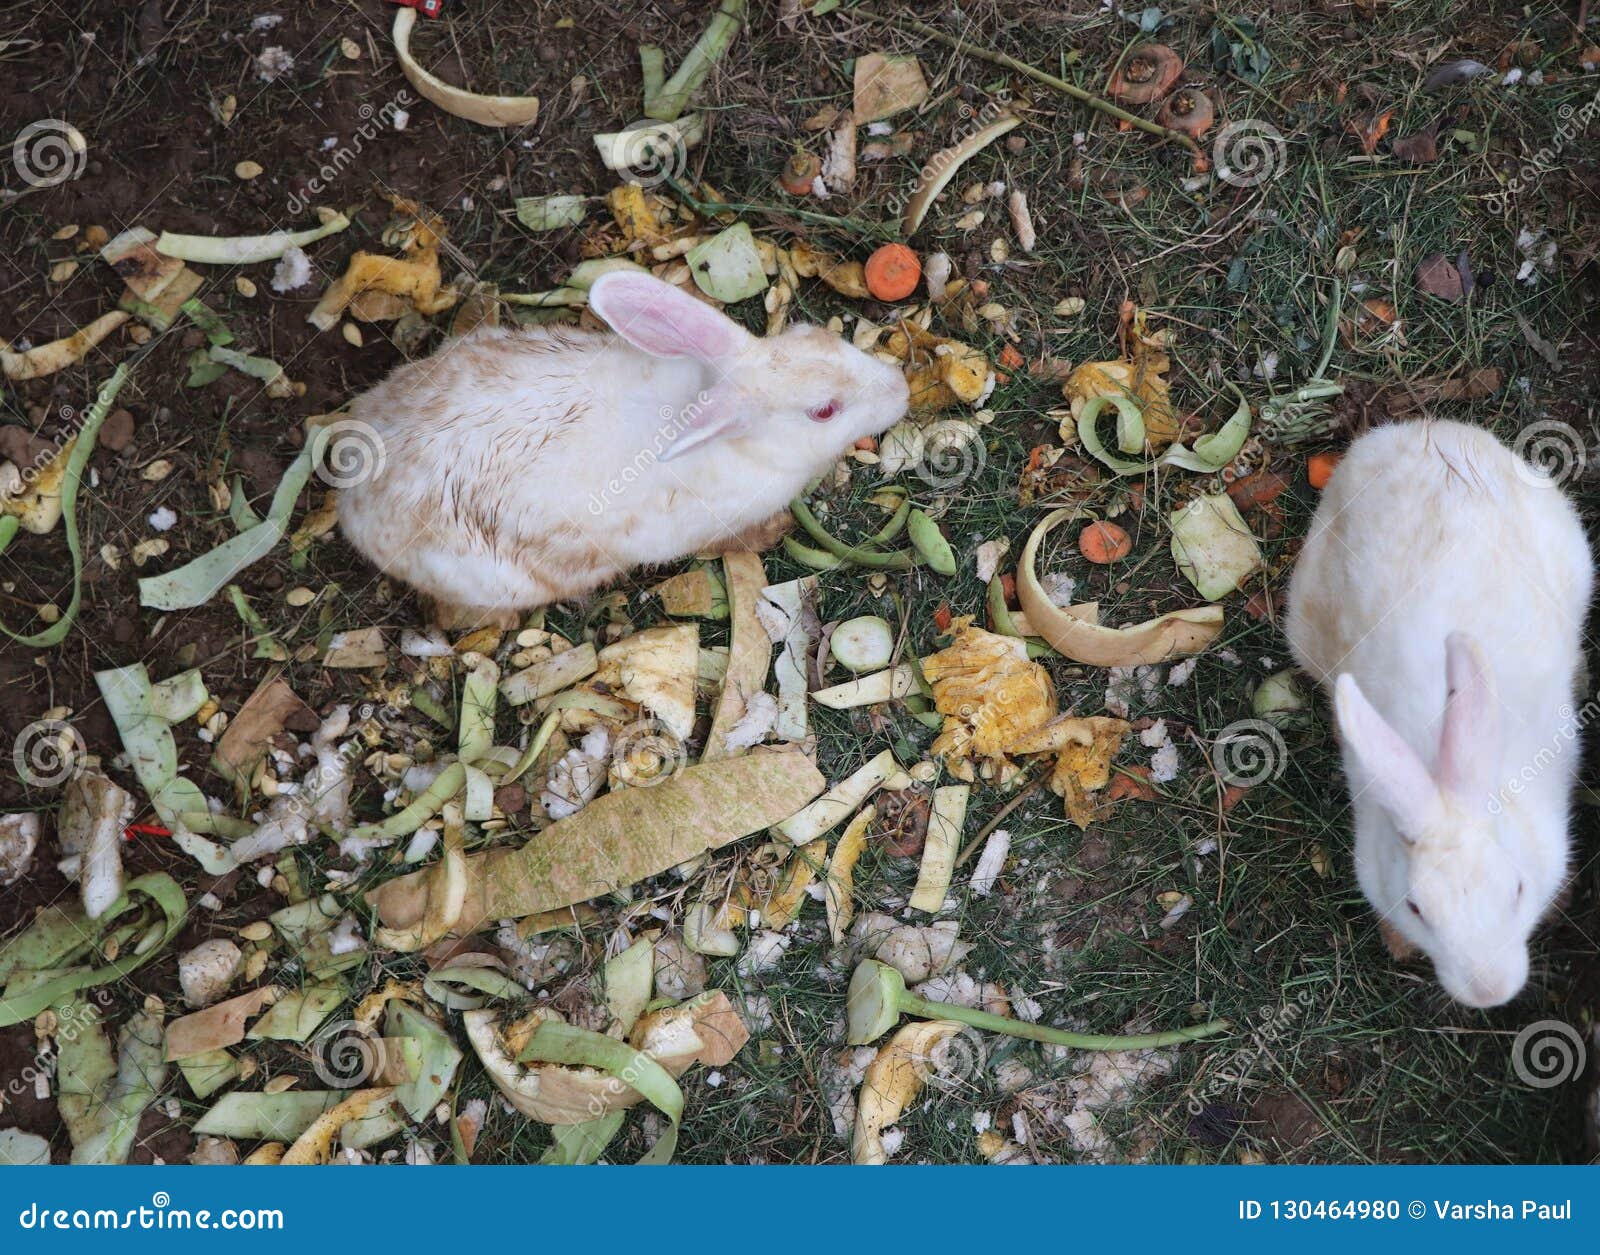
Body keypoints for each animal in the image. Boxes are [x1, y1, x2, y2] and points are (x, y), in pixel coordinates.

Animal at [336, 270, 910, 628]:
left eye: (817, 336)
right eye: (824, 411)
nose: (900, 389)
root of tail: (352, 504)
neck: (742, 443)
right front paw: (777, 530)